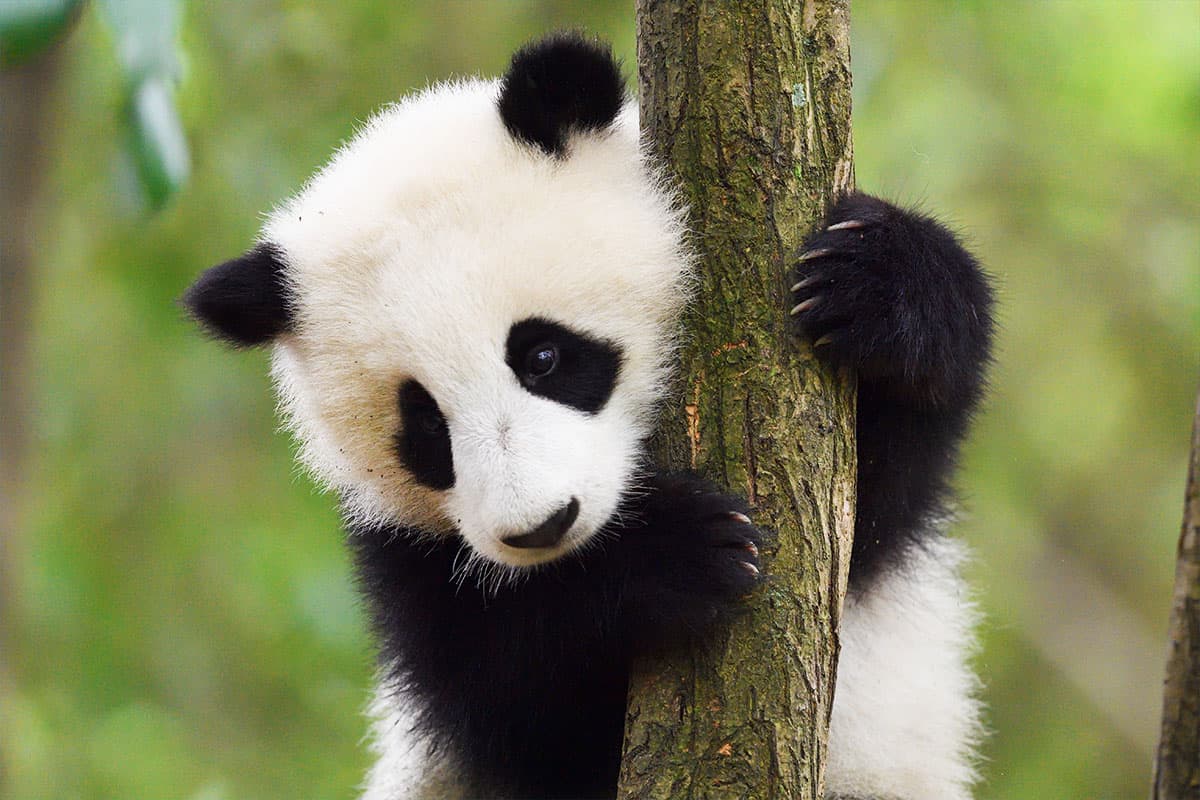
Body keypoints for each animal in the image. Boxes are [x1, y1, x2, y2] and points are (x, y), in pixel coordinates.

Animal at [184, 33, 993, 800]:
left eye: (542, 356)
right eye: (425, 429)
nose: (542, 526)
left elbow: (875, 499)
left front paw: (875, 282)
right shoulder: (402, 557)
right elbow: (510, 692)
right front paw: (675, 552)